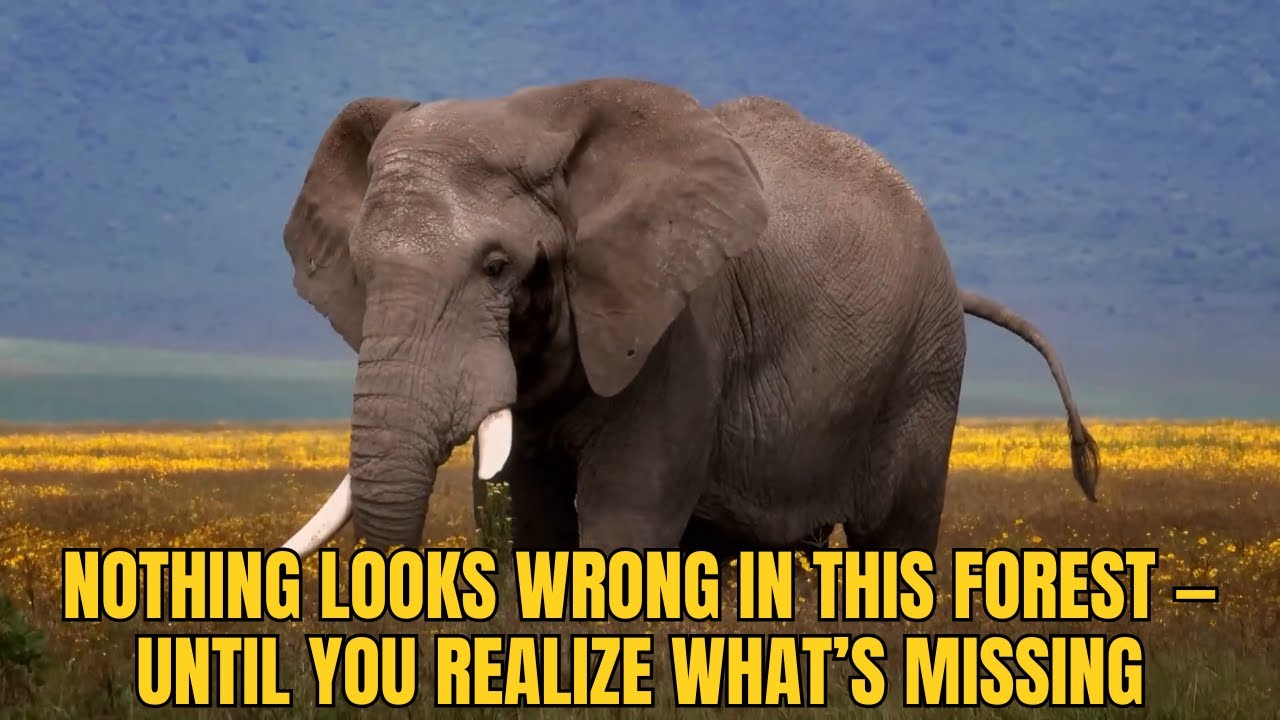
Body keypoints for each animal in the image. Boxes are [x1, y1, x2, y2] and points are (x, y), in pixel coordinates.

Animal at [277, 77, 1098, 560]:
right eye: (362, 271)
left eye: (497, 266)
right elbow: (526, 518)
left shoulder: (683, 325)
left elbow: (624, 518)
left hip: (924, 368)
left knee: (896, 538)